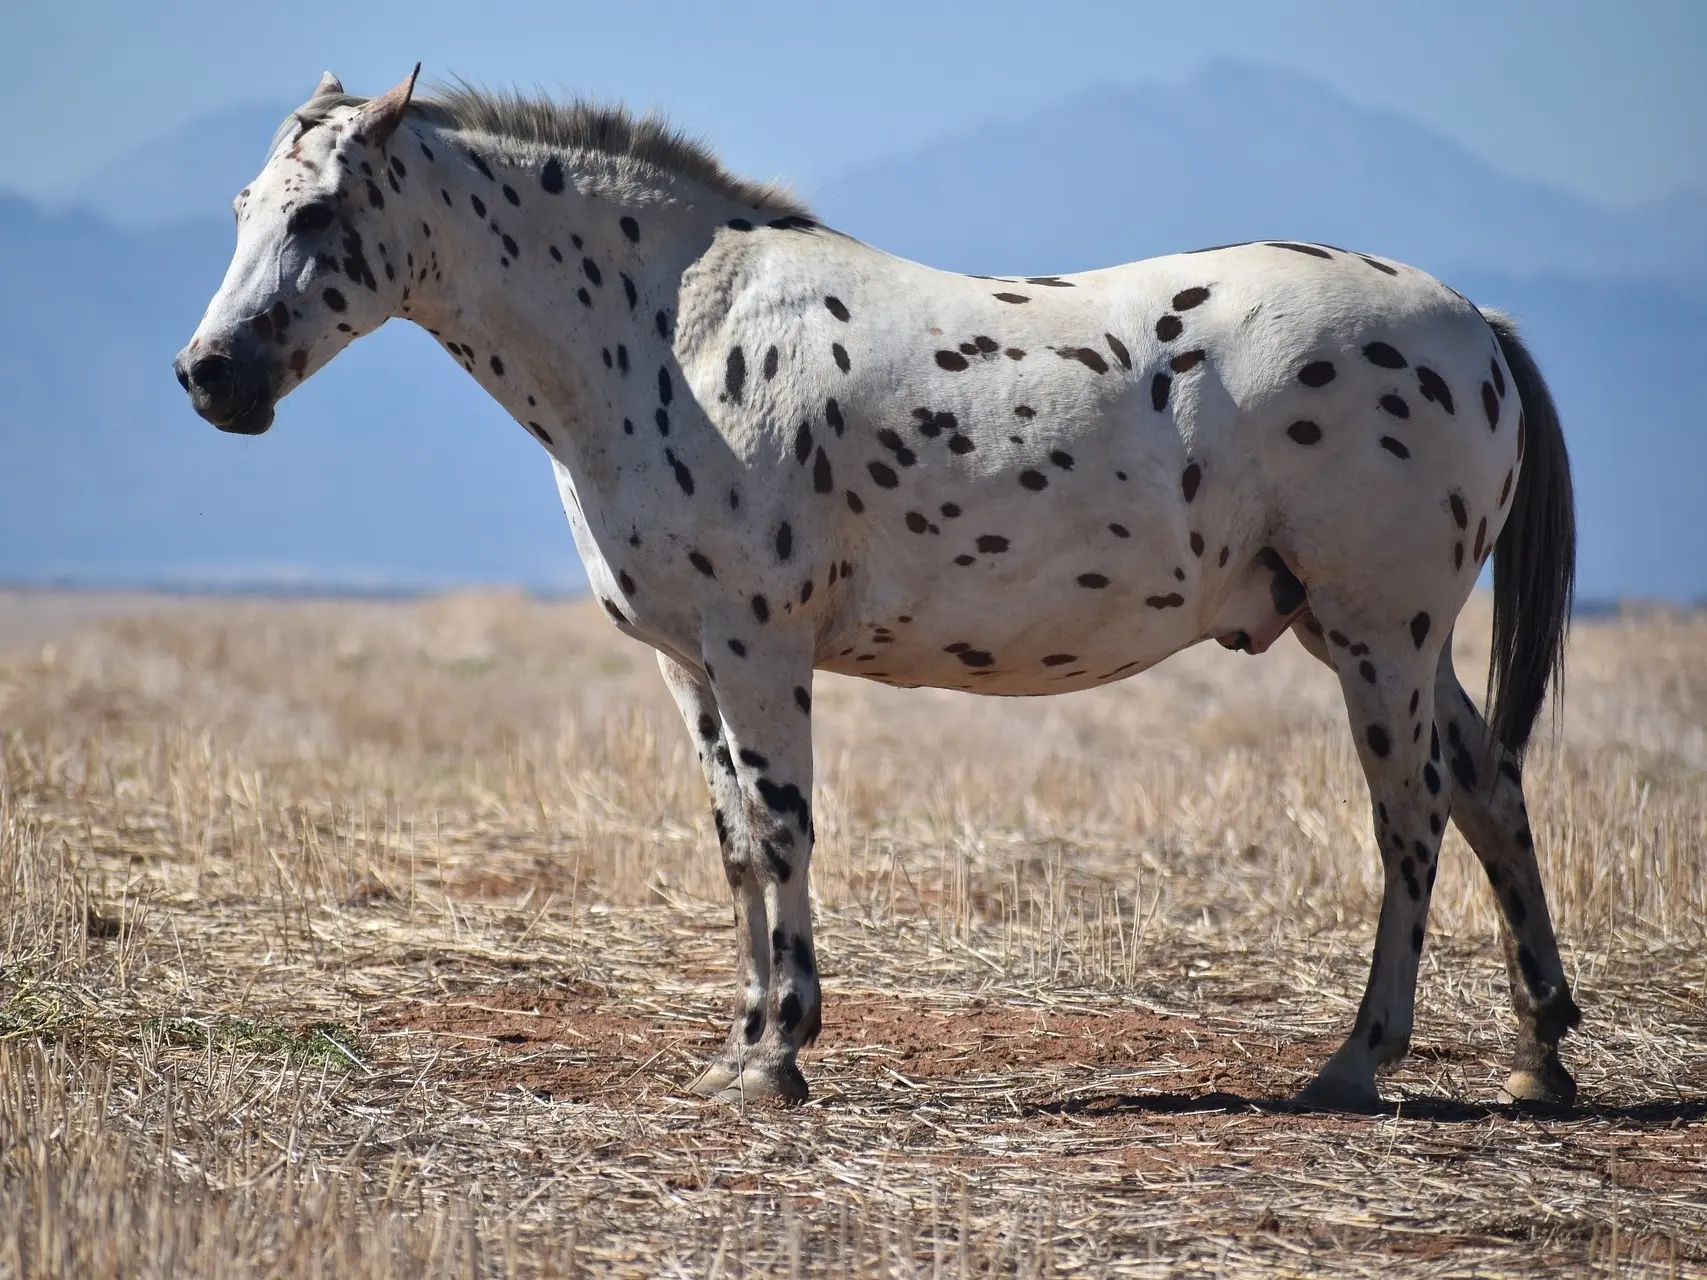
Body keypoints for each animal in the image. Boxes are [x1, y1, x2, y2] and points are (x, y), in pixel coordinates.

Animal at [175, 68, 1581, 1112]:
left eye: (316, 216)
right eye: (241, 205)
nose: (210, 377)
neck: (674, 331)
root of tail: (1476, 324)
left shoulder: (758, 647)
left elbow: (784, 828)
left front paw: (782, 1053)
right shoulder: (688, 661)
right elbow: (734, 843)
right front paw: (739, 1044)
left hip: (1377, 635)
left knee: (1413, 819)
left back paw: (1357, 1061)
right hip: (1381, 638)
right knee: (1490, 789)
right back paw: (1540, 1051)